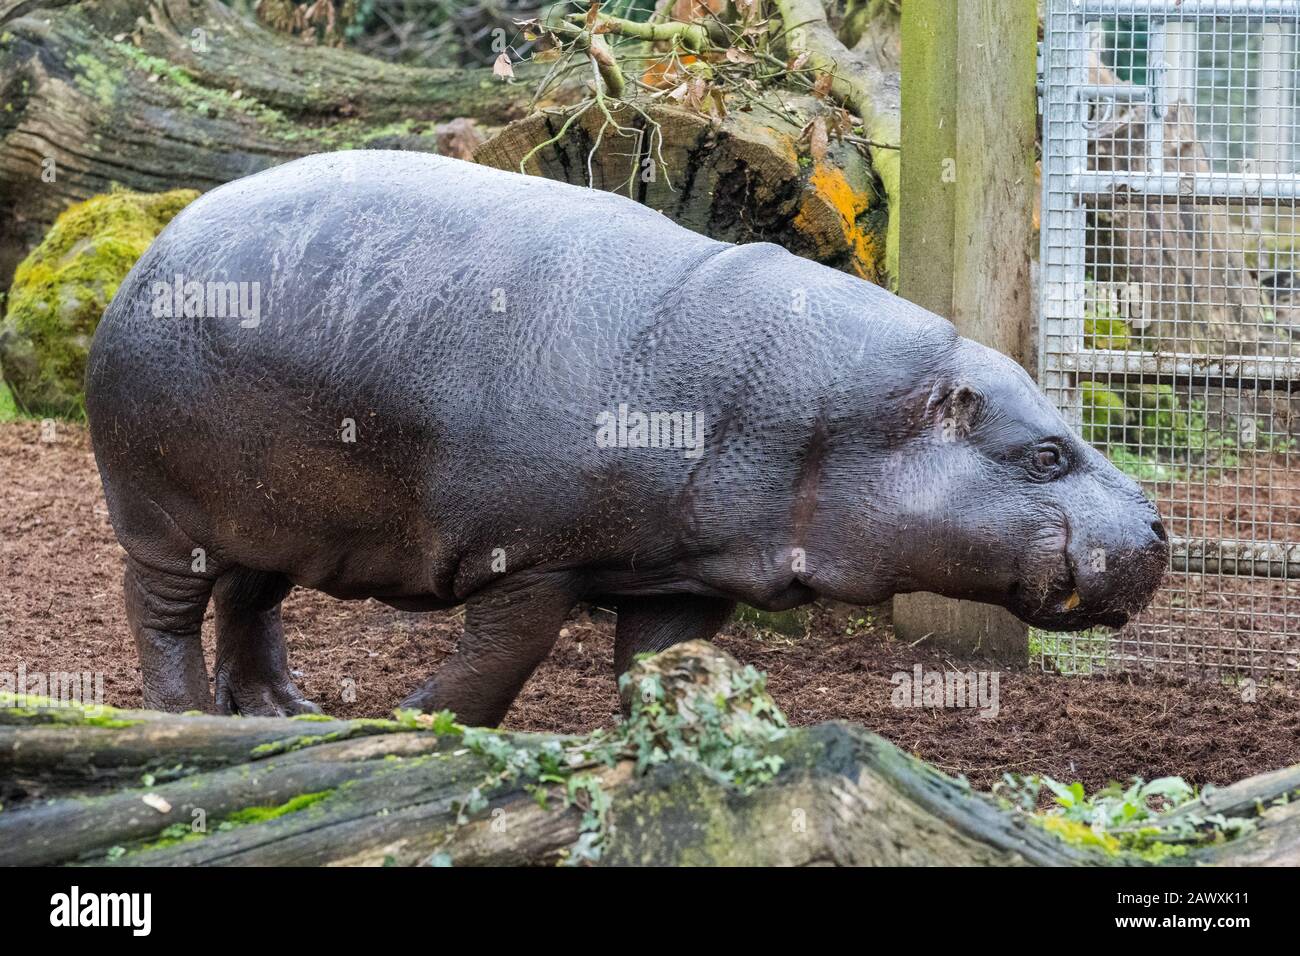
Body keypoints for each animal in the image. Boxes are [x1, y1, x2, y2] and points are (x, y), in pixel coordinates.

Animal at [86, 151, 1168, 725]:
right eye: (1045, 453)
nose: (1160, 530)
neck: (836, 413)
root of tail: (155, 247)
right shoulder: (528, 562)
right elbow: (495, 666)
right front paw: (413, 723)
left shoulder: (683, 576)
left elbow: (658, 666)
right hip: (161, 513)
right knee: (162, 611)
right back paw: (184, 718)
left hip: (279, 510)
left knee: (252, 599)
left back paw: (282, 711)